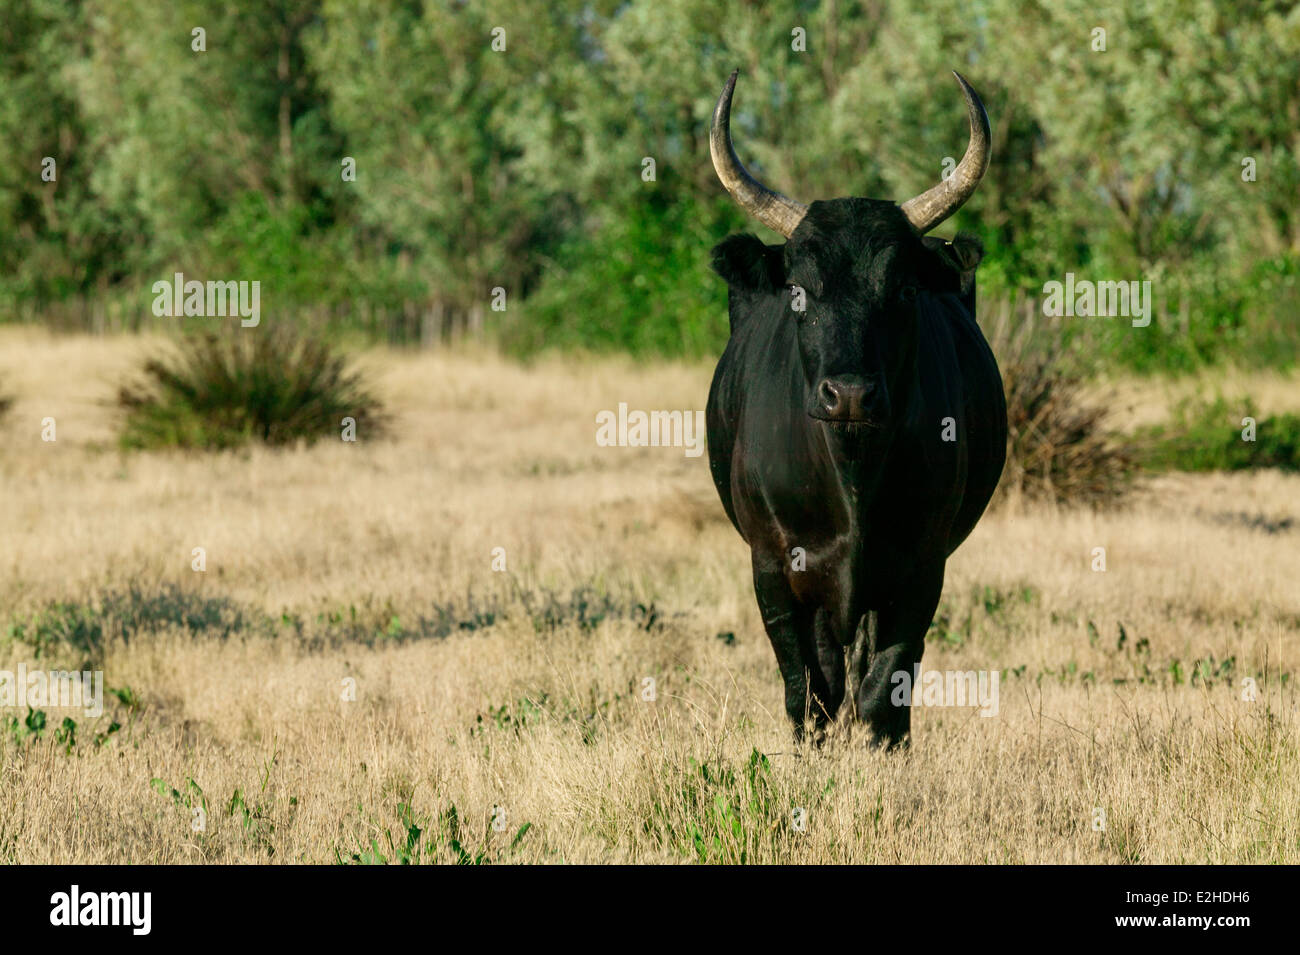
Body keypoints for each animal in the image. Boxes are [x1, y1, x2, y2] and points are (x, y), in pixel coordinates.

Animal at [705, 70, 1007, 747]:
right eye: (798, 289)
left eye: (904, 289)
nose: (848, 395)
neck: (852, 478)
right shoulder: (773, 569)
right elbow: (808, 690)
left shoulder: (921, 568)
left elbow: (883, 689)